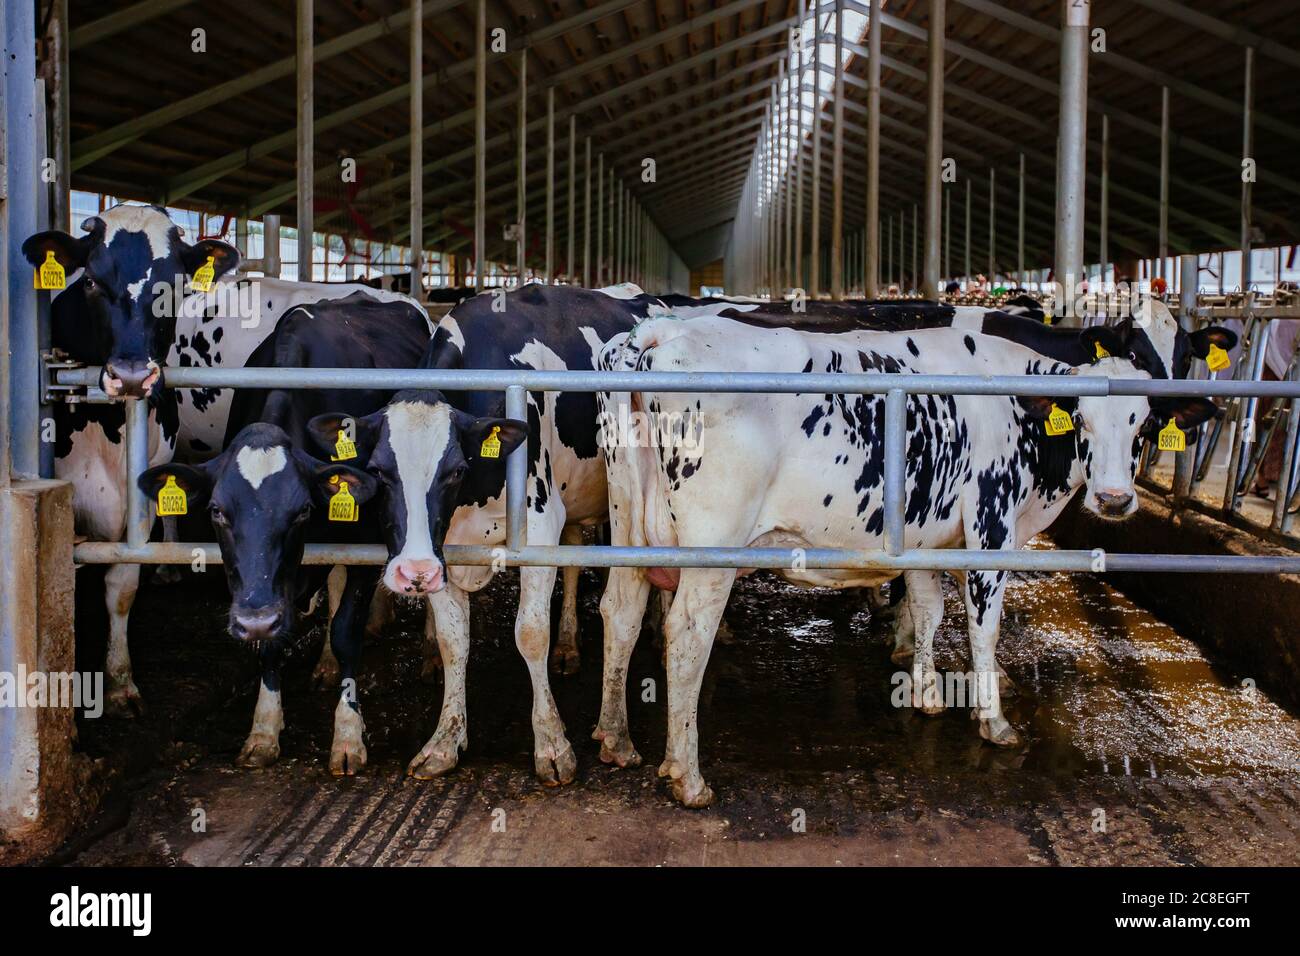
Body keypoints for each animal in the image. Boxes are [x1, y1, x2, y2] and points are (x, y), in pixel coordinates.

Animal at [136, 295, 431, 772]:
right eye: (217, 512)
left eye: (302, 510)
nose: (254, 619)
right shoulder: (263, 590)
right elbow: (270, 645)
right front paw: (264, 729)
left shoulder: (365, 544)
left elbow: (346, 631)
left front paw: (347, 735)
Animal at [308, 284, 657, 784]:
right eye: (377, 471)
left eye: (455, 470)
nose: (410, 570)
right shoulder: (442, 552)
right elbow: (454, 640)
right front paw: (444, 740)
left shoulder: (538, 525)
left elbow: (530, 634)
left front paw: (552, 744)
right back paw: (569, 644)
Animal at [594, 317, 1219, 806]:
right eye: (1082, 418)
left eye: (1143, 423)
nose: (1114, 499)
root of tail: (663, 329)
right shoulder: (991, 523)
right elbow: (982, 626)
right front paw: (993, 720)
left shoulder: (926, 535)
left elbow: (926, 607)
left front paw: (926, 692)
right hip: (711, 548)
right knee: (686, 637)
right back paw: (687, 776)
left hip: (627, 523)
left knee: (620, 612)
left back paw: (615, 740)